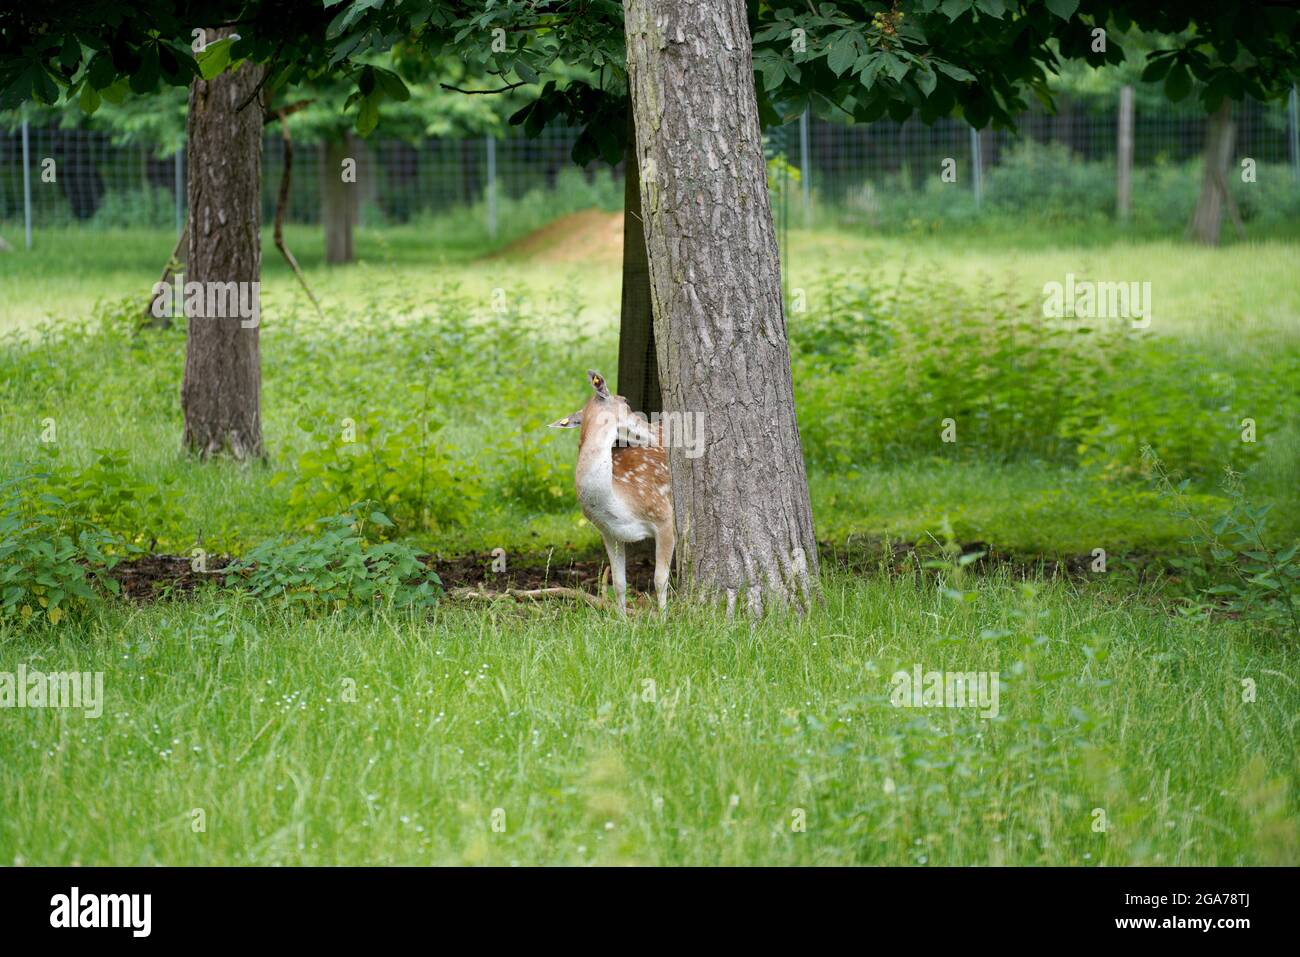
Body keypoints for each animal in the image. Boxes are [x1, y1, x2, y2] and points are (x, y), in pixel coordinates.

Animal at [549, 370, 674, 615]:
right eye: (626, 401)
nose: (653, 429)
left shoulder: (664, 515)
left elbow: (660, 579)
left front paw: (664, 620)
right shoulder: (609, 532)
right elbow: (619, 582)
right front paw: (622, 619)